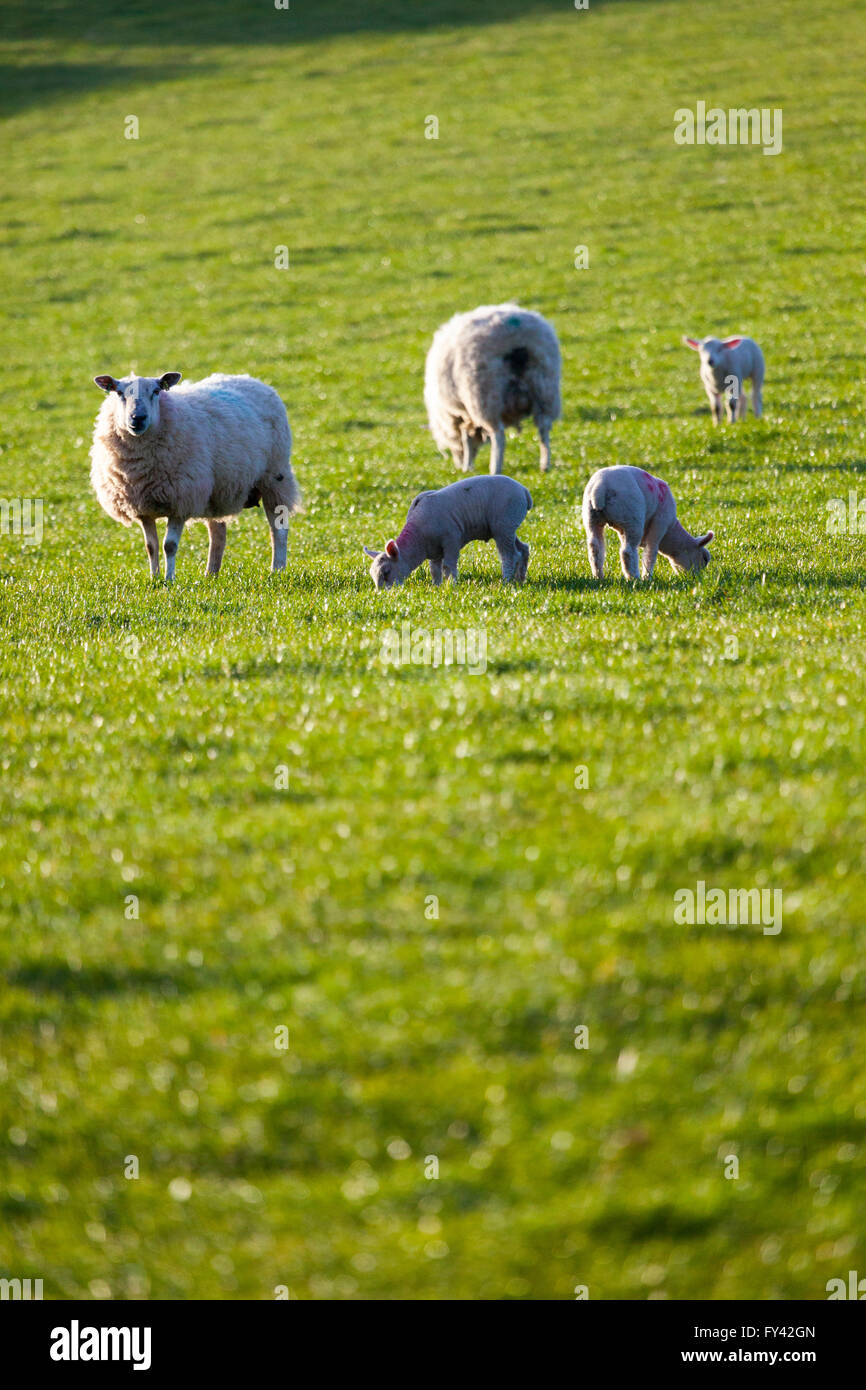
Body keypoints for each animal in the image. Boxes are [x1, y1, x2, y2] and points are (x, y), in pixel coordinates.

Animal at [90, 371, 300, 580]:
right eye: (119, 393)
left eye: (157, 391)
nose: (138, 418)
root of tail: (251, 379)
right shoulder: (142, 508)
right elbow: (151, 547)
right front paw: (154, 579)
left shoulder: (181, 501)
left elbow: (169, 546)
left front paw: (169, 579)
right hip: (218, 491)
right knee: (218, 532)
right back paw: (211, 574)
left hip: (275, 477)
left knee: (278, 529)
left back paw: (277, 569)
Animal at [363, 475, 532, 589]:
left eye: (386, 572)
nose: (384, 595)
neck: (417, 537)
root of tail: (524, 491)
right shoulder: (434, 550)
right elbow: (435, 570)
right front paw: (436, 587)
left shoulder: (451, 540)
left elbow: (449, 566)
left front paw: (452, 586)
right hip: (507, 527)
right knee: (523, 549)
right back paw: (520, 579)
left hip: (504, 525)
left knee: (510, 555)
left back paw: (506, 581)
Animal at [424, 303, 561, 475]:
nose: (458, 465)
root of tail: (517, 340)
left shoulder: (464, 413)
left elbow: (466, 437)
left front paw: (467, 466)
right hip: (545, 387)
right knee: (544, 428)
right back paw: (545, 465)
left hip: (486, 394)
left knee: (499, 435)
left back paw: (495, 468)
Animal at [581, 466, 714, 581]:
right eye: (705, 559)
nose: (698, 578)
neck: (671, 532)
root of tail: (600, 488)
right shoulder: (660, 522)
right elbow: (651, 552)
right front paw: (647, 577)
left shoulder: (622, 529)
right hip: (633, 519)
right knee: (628, 551)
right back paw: (634, 578)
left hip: (592, 518)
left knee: (595, 547)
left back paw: (599, 576)